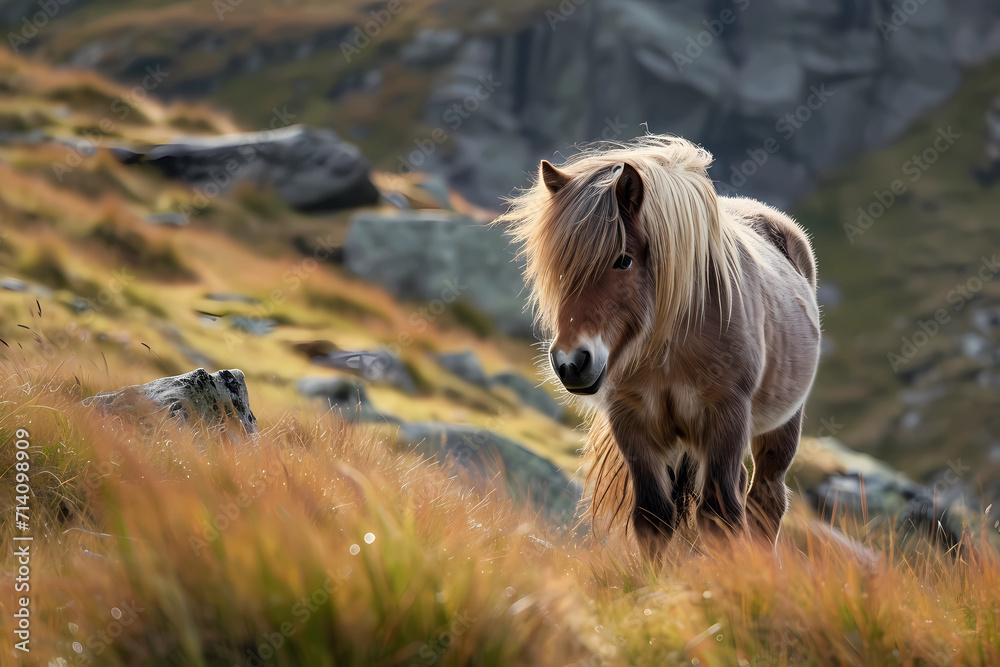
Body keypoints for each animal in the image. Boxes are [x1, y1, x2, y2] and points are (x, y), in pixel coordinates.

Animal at [497, 135, 821, 563]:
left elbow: (719, 518)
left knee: (765, 502)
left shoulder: (725, 419)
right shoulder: (633, 423)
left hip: (780, 428)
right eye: (560, 268)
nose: (571, 362)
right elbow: (653, 518)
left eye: (623, 260)